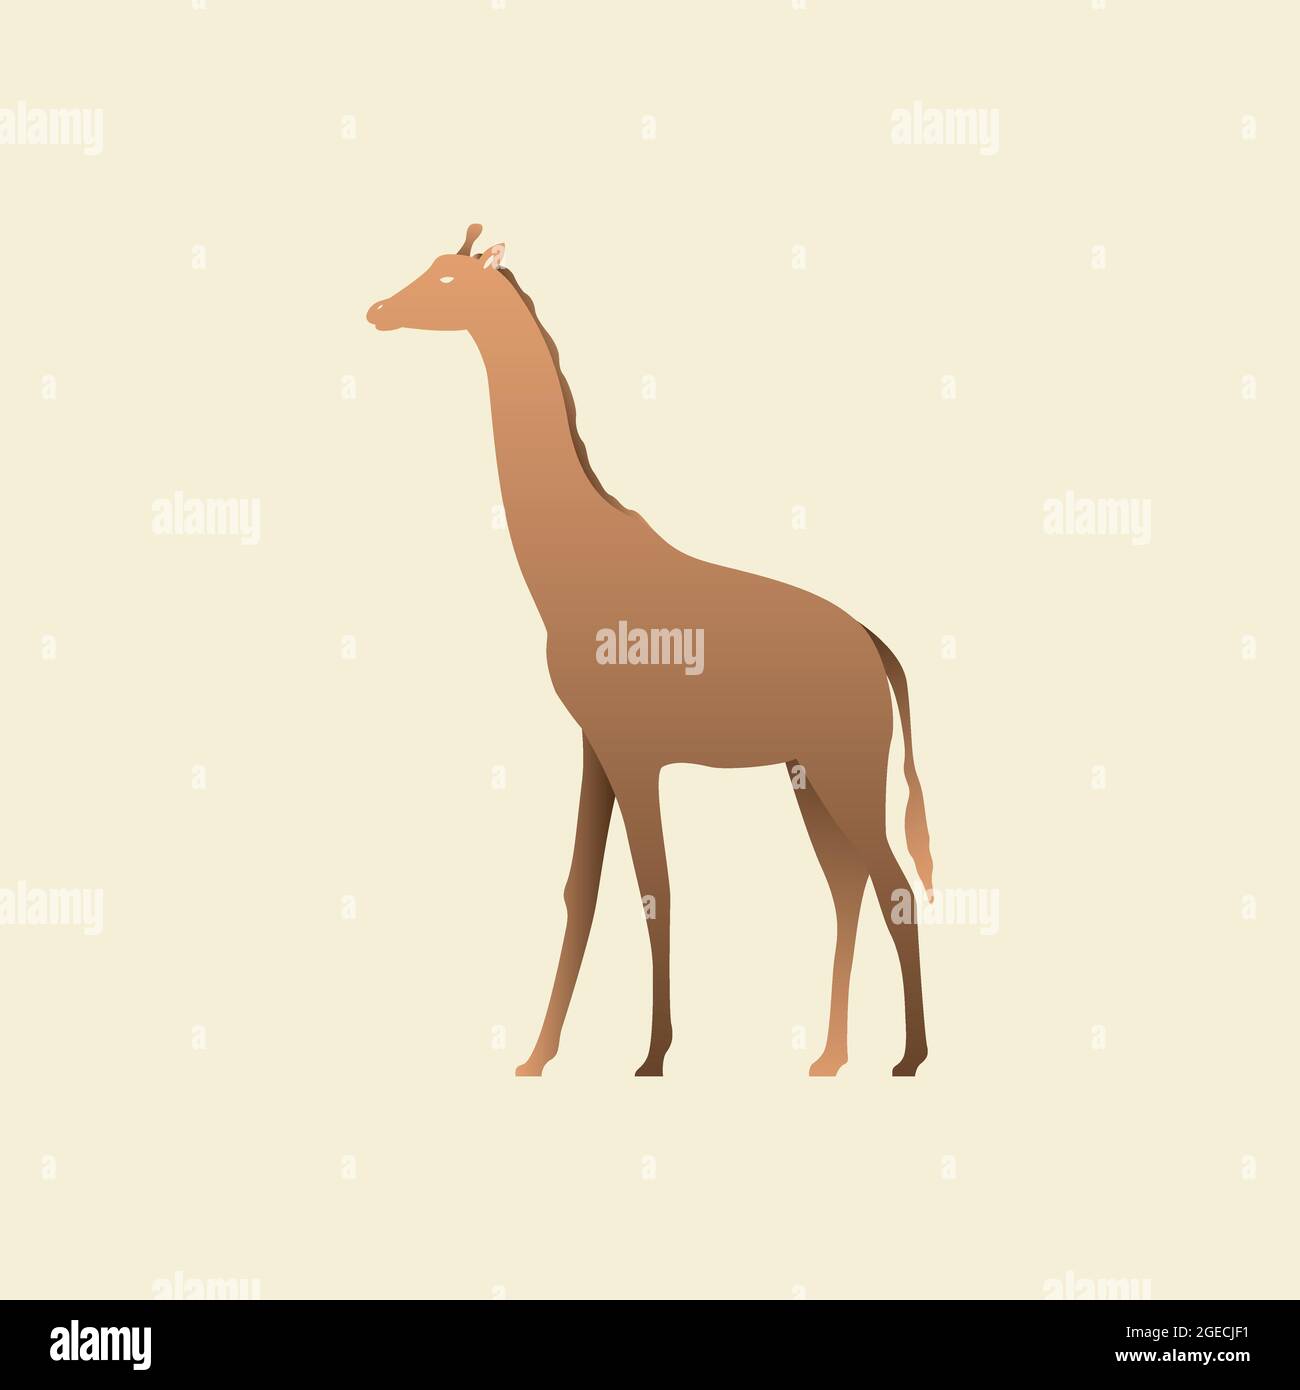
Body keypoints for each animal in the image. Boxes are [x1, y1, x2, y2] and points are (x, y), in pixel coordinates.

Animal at [367, 224, 936, 1079]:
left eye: (443, 280)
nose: (376, 310)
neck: (573, 571)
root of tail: (879, 649)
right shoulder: (594, 745)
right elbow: (580, 889)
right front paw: (536, 1056)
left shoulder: (635, 752)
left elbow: (653, 888)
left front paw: (653, 1054)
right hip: (808, 774)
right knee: (846, 887)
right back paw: (831, 1056)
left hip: (850, 771)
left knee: (891, 884)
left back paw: (910, 1058)